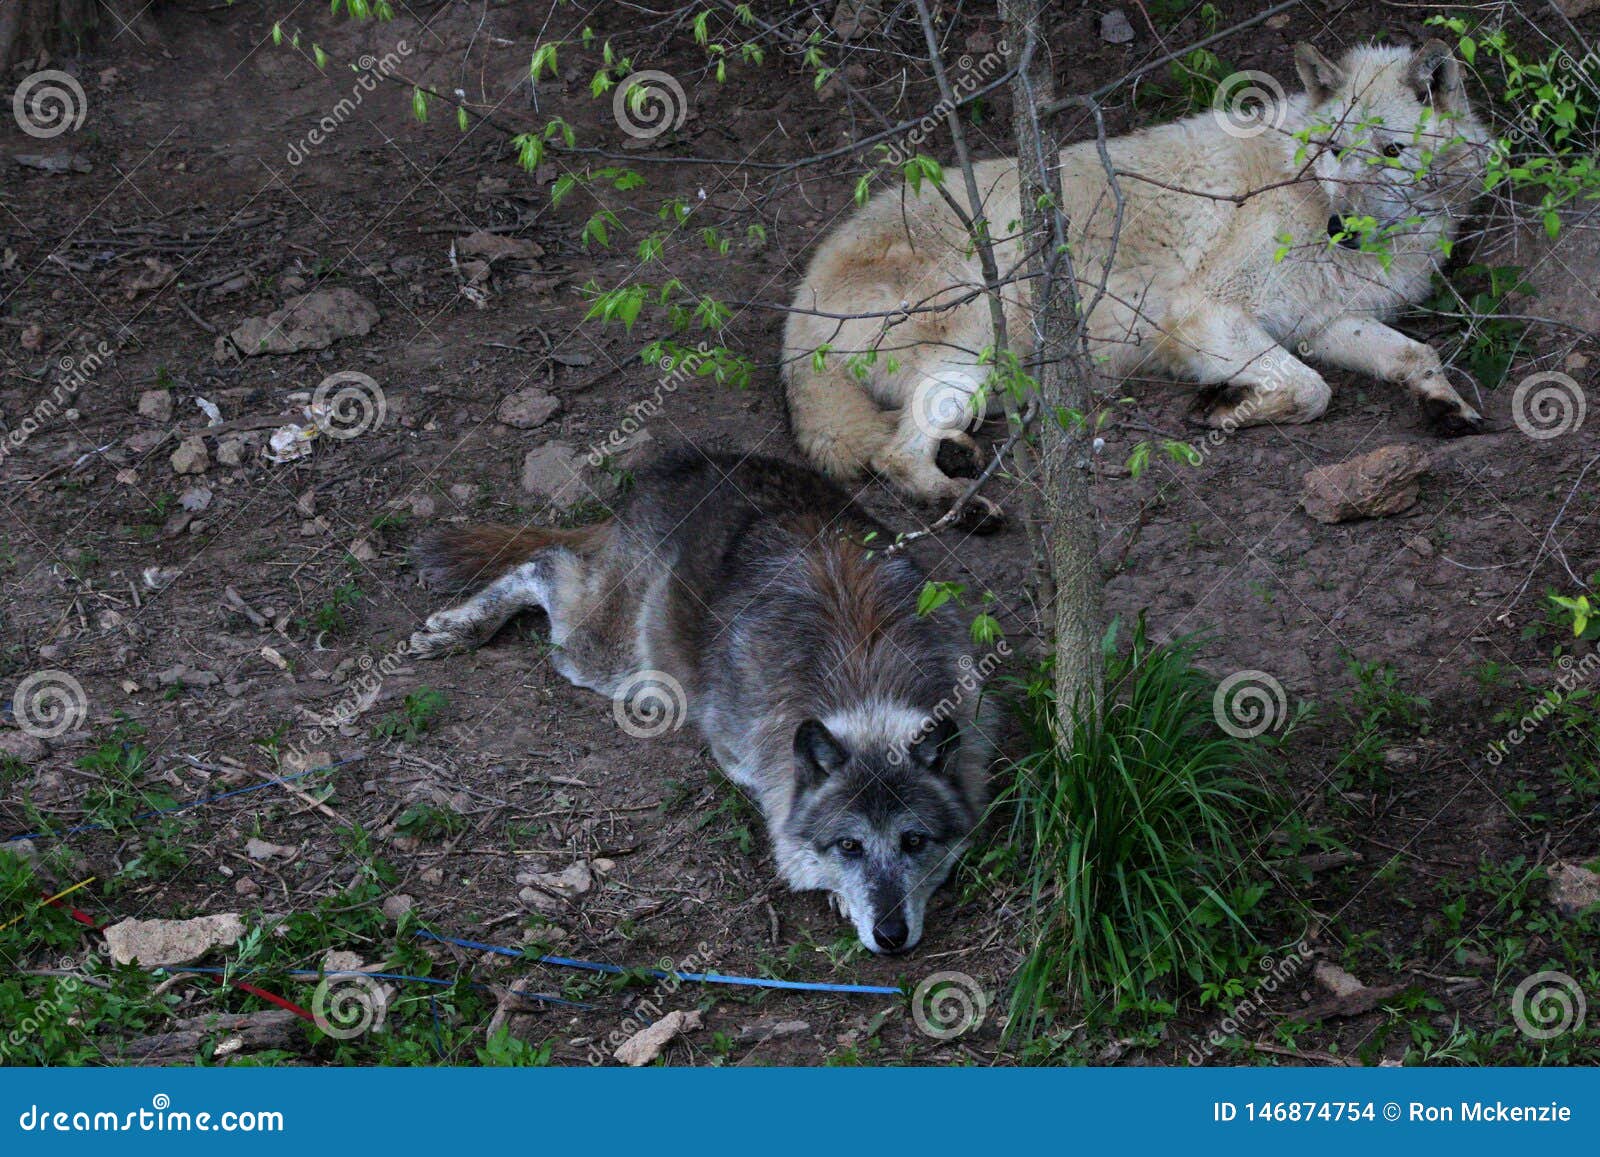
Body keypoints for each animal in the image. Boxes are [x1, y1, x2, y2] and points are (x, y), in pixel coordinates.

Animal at [407, 446, 994, 953]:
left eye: (913, 841)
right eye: (850, 846)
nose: (891, 936)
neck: (864, 676)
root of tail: (684, 464)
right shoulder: (741, 755)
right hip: (605, 658)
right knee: (547, 563)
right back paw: (460, 629)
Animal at [783, 40, 1492, 504]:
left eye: (1392, 151)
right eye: (1334, 149)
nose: (1342, 227)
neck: (1304, 188)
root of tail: (793, 317)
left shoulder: (1327, 321)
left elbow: (1416, 354)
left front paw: (1446, 404)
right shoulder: (1201, 312)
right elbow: (1313, 390)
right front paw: (1223, 410)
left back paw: (961, 456)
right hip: (987, 319)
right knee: (892, 455)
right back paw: (960, 503)